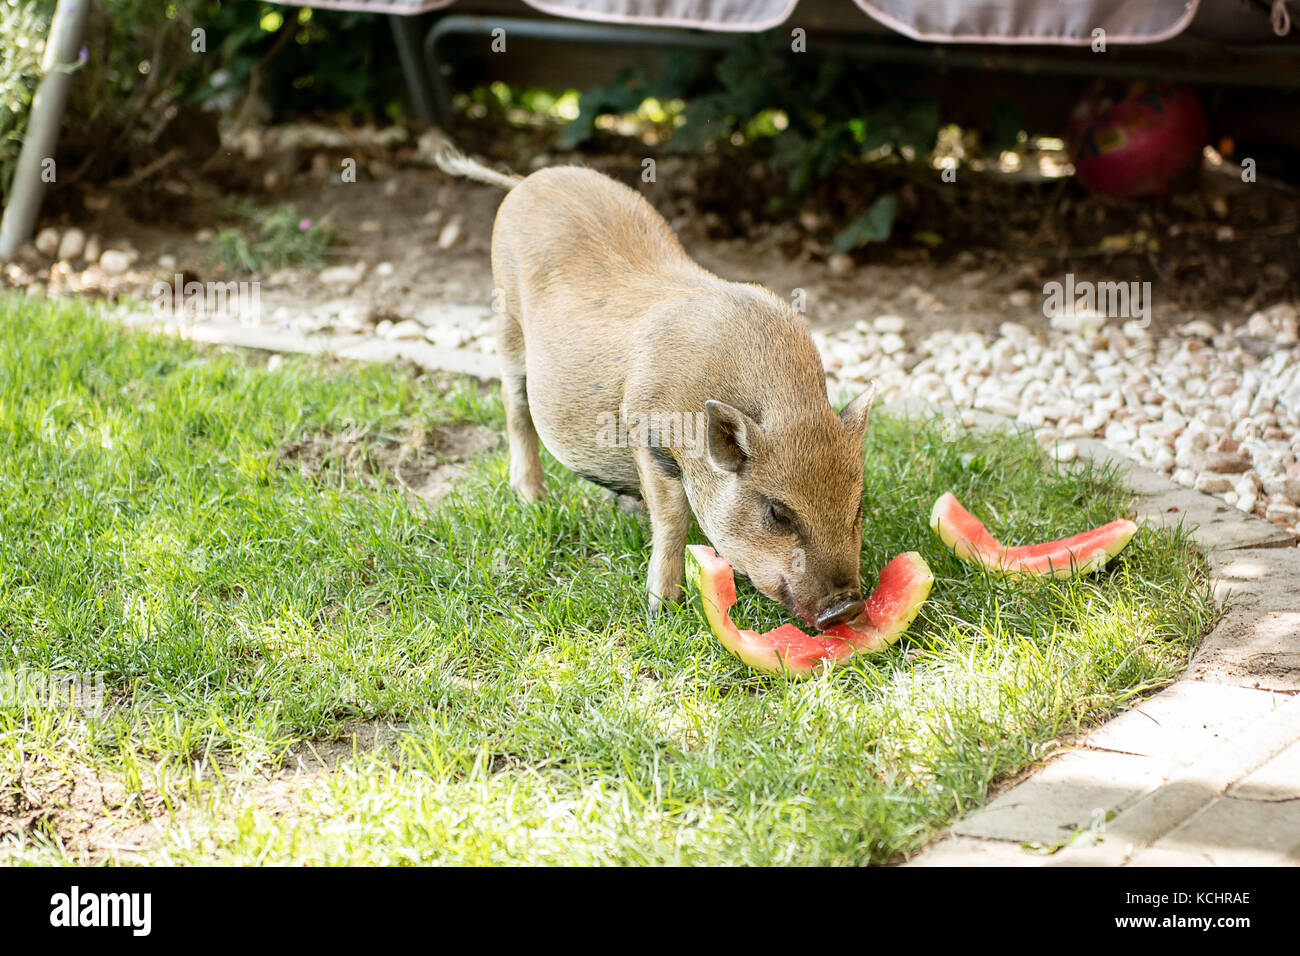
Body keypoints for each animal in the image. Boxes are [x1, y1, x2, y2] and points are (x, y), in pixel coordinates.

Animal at [435, 148, 879, 630]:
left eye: (857, 507)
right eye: (778, 513)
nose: (847, 607)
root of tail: (527, 181)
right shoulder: (648, 435)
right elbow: (672, 520)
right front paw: (662, 610)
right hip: (507, 325)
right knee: (515, 408)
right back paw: (534, 500)